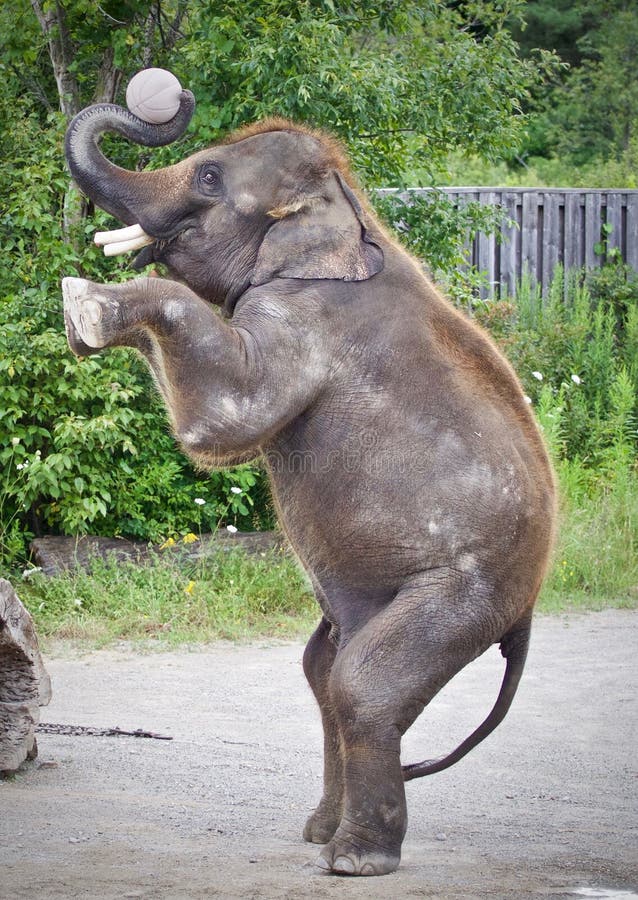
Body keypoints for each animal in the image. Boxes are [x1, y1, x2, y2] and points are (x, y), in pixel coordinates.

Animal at [61, 87, 556, 877]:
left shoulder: (306, 321)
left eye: (208, 178)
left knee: (361, 684)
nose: (172, 98)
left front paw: (85, 303)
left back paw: (353, 861)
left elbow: (229, 416)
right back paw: (320, 833)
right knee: (323, 672)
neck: (346, 210)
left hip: (469, 585)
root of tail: (530, 605)